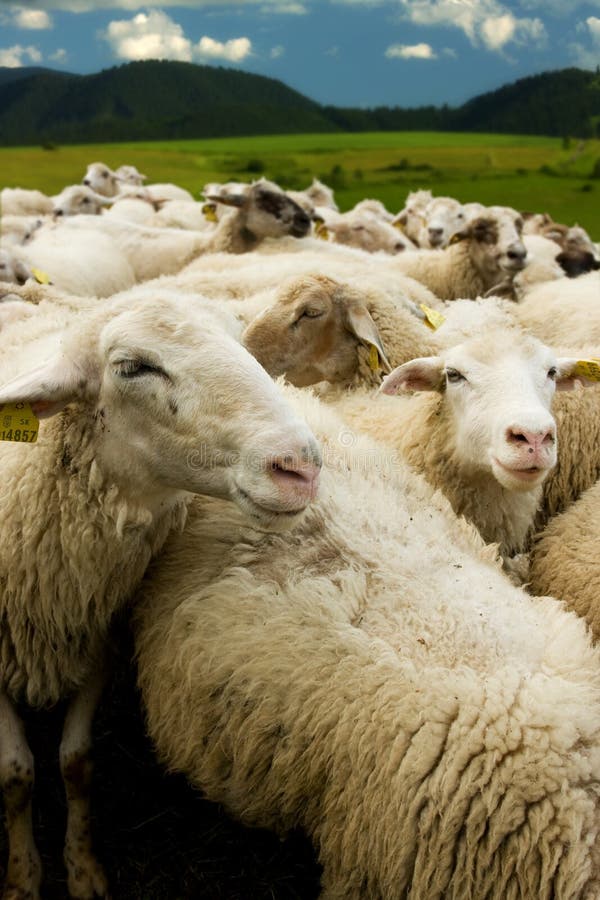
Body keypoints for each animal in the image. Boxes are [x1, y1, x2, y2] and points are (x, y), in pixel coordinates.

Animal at [0, 290, 321, 900]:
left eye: (240, 341)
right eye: (132, 367)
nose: (299, 466)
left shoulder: (99, 632)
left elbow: (76, 763)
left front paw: (83, 869)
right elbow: (16, 775)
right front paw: (24, 877)